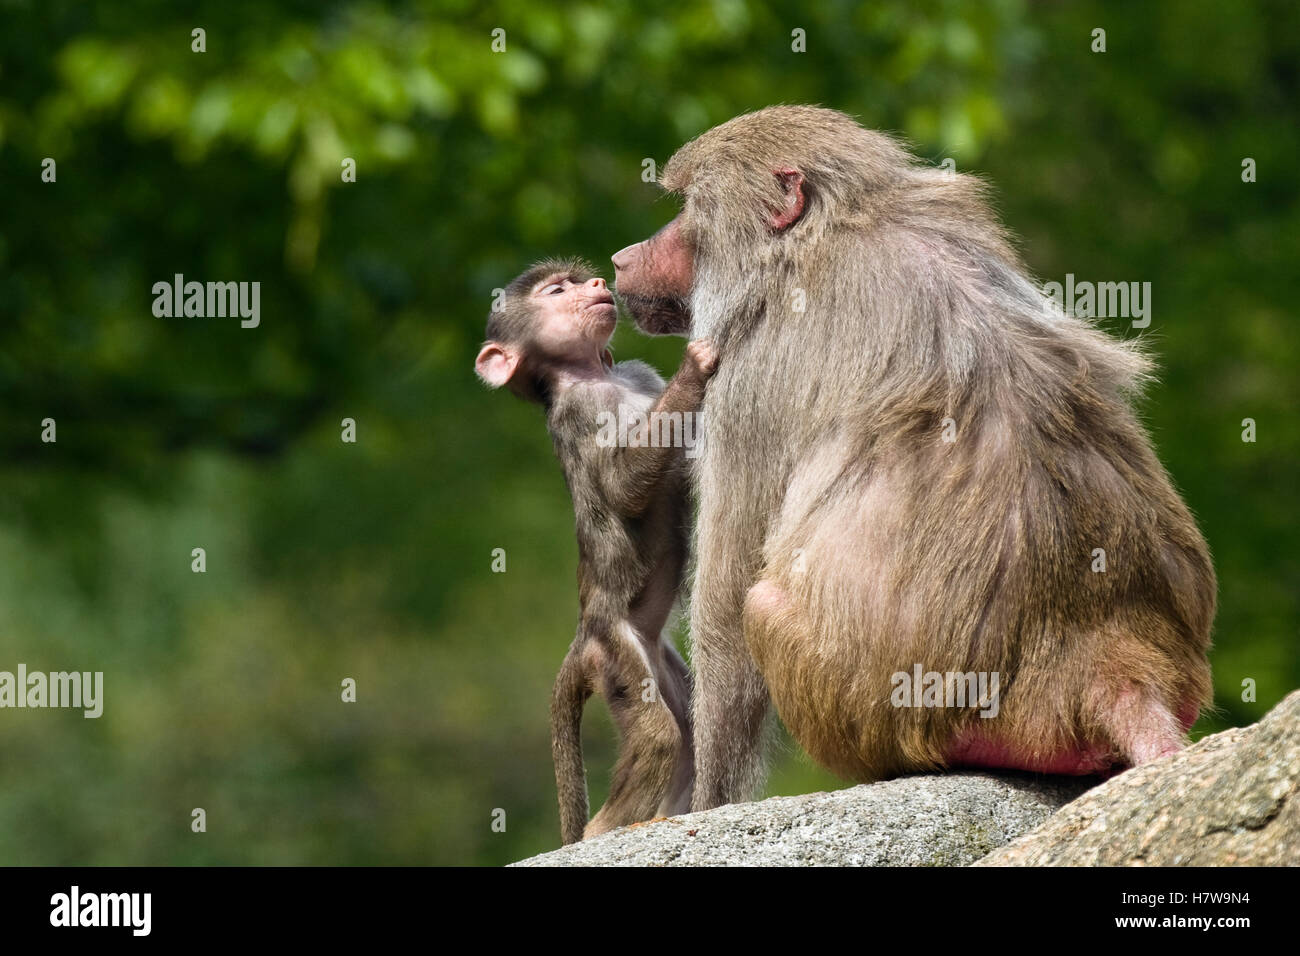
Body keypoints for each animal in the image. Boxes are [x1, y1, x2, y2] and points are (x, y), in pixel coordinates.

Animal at [474, 258, 716, 842]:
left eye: (581, 281)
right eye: (557, 291)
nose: (601, 284)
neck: (597, 376)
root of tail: (584, 634)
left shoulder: (638, 375)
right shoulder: (582, 413)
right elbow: (623, 487)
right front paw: (695, 366)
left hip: (655, 661)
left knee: (686, 731)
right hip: (617, 654)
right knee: (658, 738)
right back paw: (601, 834)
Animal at [612, 106, 1215, 811]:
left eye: (685, 210)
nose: (623, 258)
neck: (833, 229)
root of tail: (1105, 665)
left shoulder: (745, 374)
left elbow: (726, 611)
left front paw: (707, 803)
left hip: (881, 704)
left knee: (761, 607)